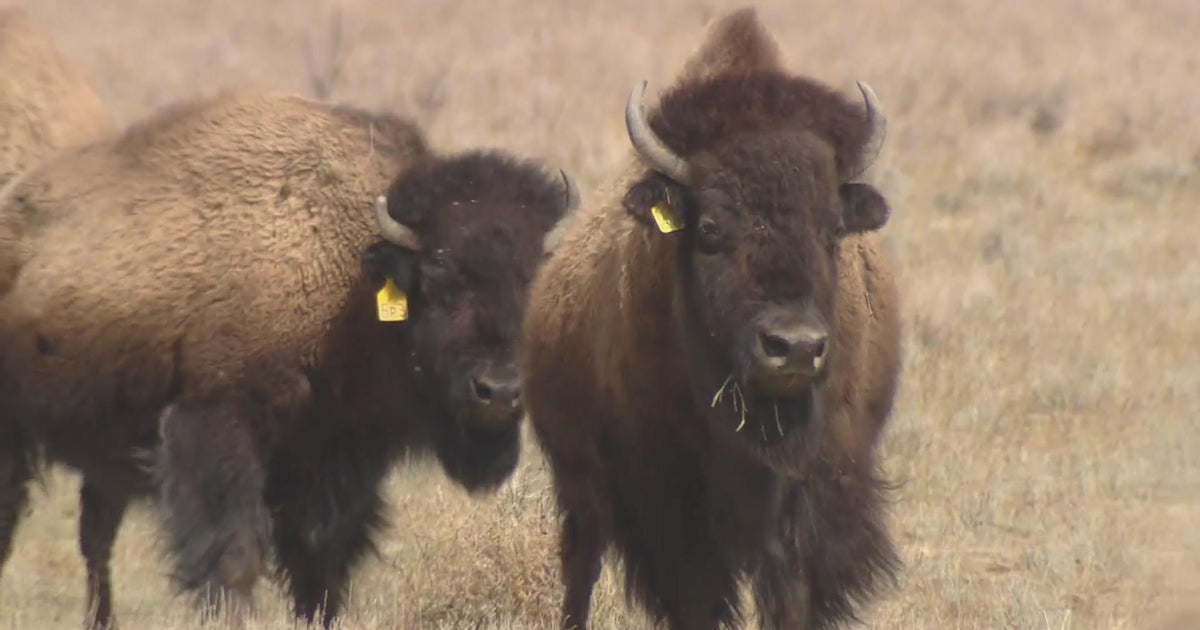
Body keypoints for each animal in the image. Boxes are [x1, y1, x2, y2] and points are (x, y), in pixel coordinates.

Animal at [0, 89, 574, 628]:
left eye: (533, 281)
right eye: (439, 280)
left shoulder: (340, 454)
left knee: (95, 539)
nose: (498, 391)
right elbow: (235, 553)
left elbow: (322, 561)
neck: (350, 271)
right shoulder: (217, 427)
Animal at [522, 9, 903, 630]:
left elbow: (790, 592)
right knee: (580, 566)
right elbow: (695, 595)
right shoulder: (670, 504)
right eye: (709, 228)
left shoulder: (811, 495)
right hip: (581, 487)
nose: (794, 347)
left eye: (831, 230)